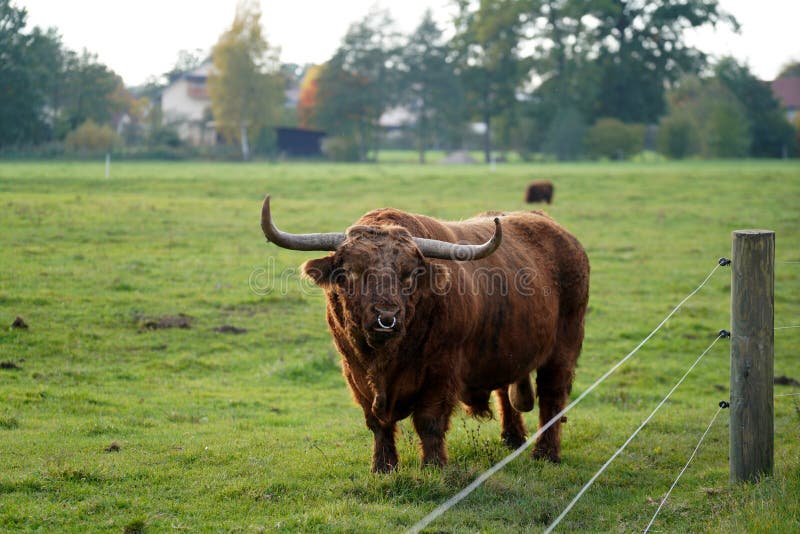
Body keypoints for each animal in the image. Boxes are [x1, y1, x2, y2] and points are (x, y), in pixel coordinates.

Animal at [260, 195, 589, 473]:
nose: (386, 318)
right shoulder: (354, 371)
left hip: (564, 347)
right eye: (350, 272)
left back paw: (545, 453)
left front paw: (433, 465)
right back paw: (512, 439)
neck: (385, 361)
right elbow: (377, 423)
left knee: (552, 398)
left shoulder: (441, 372)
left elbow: (429, 422)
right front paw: (383, 467)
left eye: (410, 274)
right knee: (505, 392)